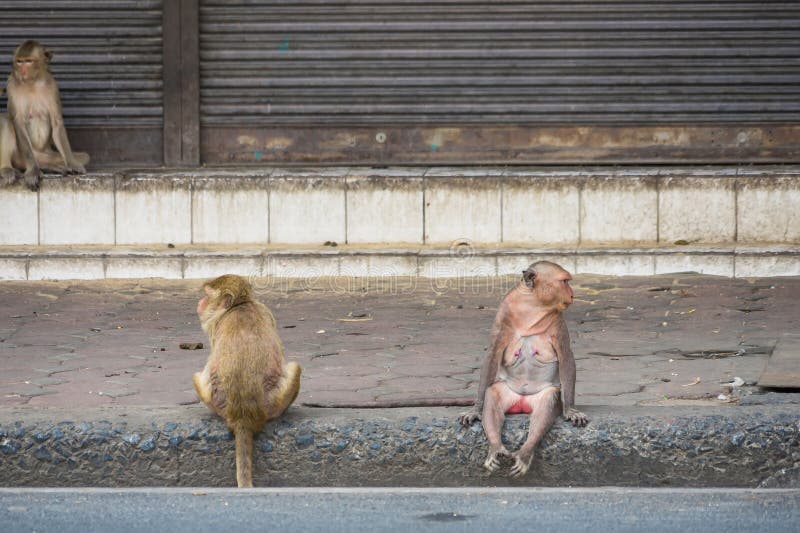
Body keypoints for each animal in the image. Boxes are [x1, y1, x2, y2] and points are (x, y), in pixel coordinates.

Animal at [0, 40, 89, 191]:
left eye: (28, 61)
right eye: (19, 61)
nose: (22, 70)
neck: (33, 82)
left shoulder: (52, 85)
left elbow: (57, 123)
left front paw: (71, 163)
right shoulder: (11, 84)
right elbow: (18, 122)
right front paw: (32, 172)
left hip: (46, 155)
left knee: (83, 157)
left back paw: (53, 167)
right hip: (20, 155)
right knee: (6, 120)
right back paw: (7, 168)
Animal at [458, 260, 588, 478]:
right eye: (565, 282)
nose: (572, 293)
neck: (532, 306)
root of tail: (522, 402)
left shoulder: (559, 321)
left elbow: (566, 357)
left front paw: (570, 410)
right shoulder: (503, 315)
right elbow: (492, 354)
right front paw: (475, 410)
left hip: (540, 395)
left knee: (547, 403)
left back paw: (524, 454)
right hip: (508, 391)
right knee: (493, 395)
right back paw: (496, 448)